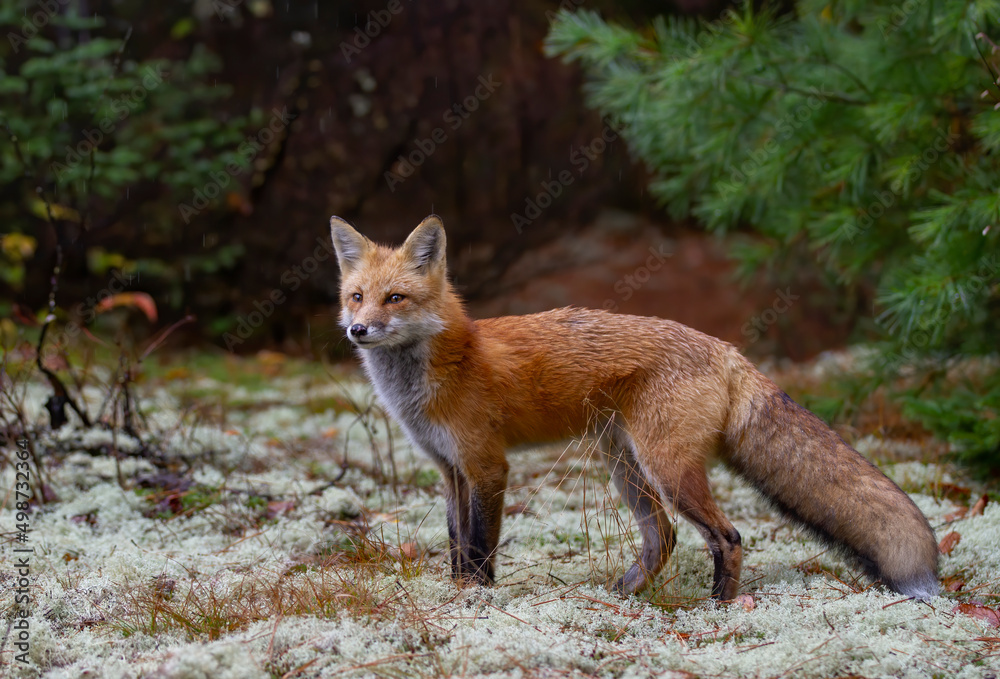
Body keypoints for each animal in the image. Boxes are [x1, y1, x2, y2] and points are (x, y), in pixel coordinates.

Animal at [329, 214, 940, 601]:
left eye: (395, 299)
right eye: (356, 296)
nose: (358, 330)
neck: (443, 366)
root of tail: (725, 347)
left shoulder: (487, 466)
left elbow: (480, 547)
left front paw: (477, 600)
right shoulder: (451, 470)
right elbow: (458, 543)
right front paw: (457, 593)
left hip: (665, 468)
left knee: (728, 536)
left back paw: (719, 607)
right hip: (624, 465)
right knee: (663, 537)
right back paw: (628, 594)